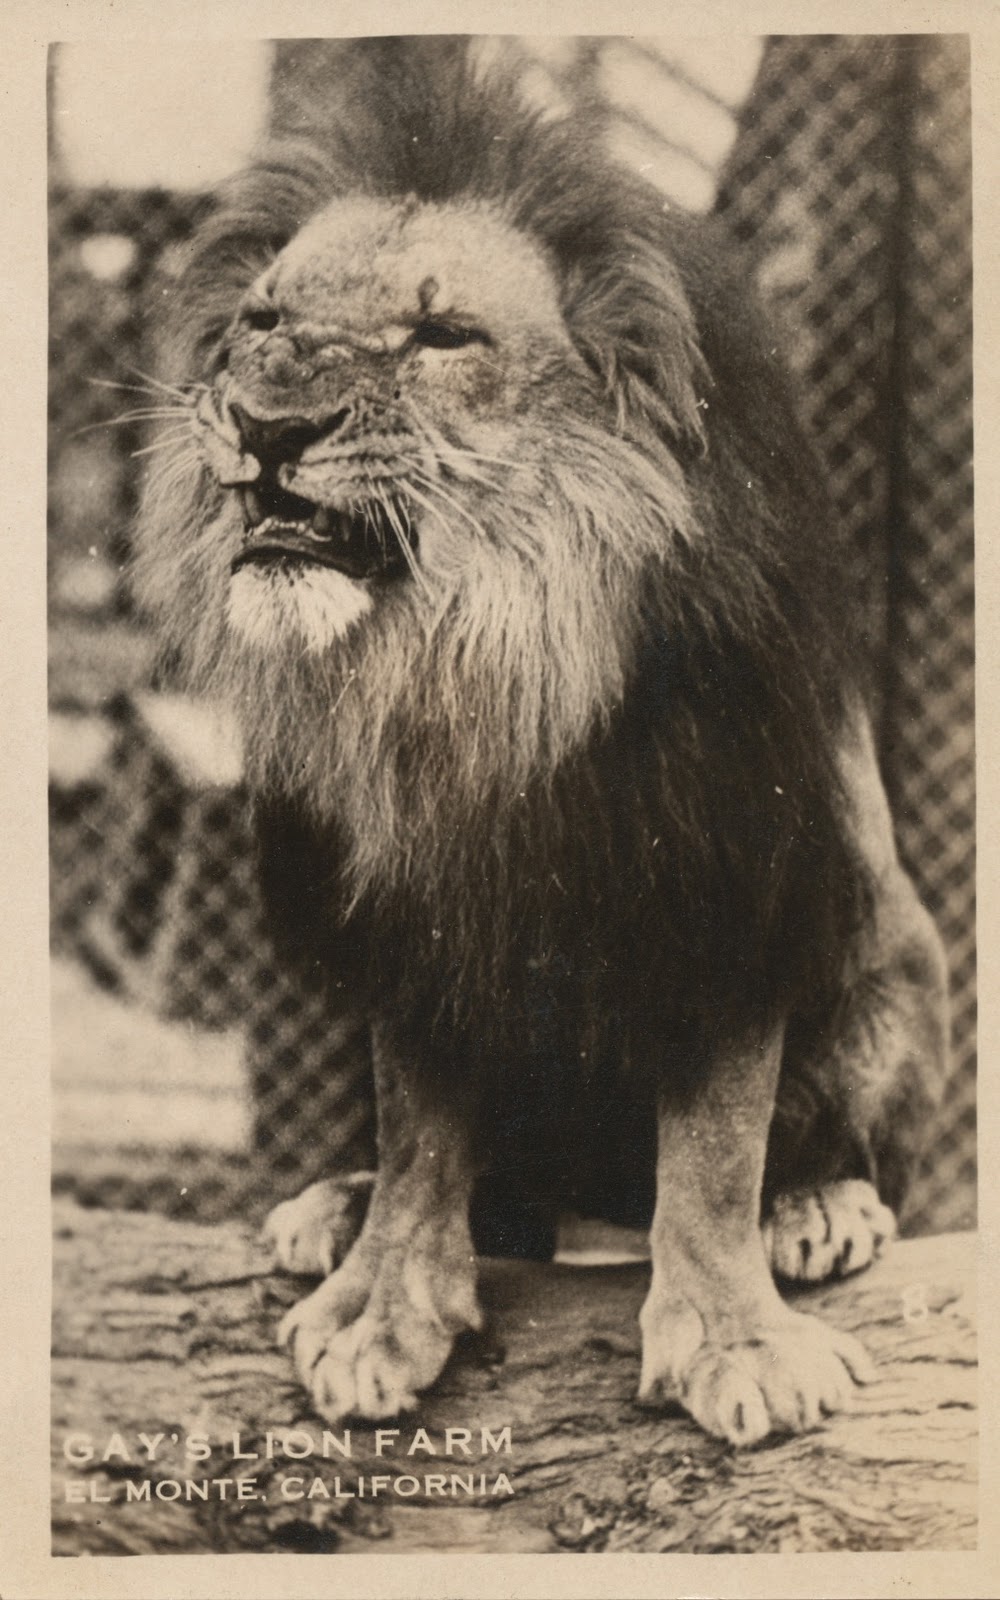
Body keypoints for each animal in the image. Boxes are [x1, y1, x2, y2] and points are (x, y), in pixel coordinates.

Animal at [132, 38, 949, 1444]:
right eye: (265, 324)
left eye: (441, 336)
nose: (266, 426)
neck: (483, 655)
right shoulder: (399, 915)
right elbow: (419, 1123)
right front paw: (381, 1302)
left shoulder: (731, 880)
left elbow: (718, 1138)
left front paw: (734, 1336)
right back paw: (337, 1206)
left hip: (898, 960)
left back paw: (819, 1209)